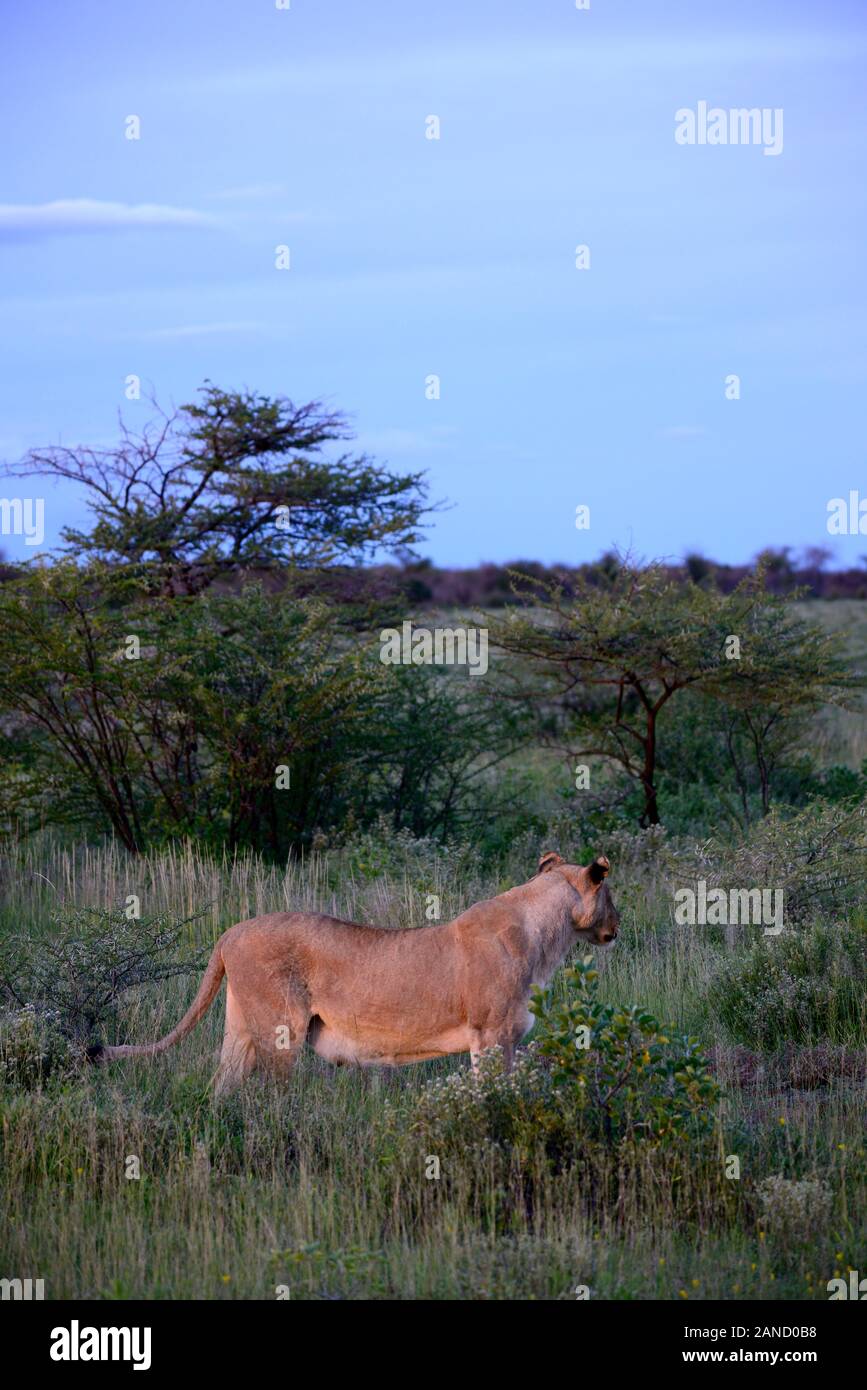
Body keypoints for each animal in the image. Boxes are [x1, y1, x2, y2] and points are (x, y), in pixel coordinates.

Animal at [89, 851, 619, 1094]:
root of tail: (230, 932)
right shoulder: (492, 1035)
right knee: (272, 1094)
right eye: (611, 894)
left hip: (240, 1027)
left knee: (222, 1086)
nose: (618, 924)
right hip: (280, 1032)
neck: (546, 933)